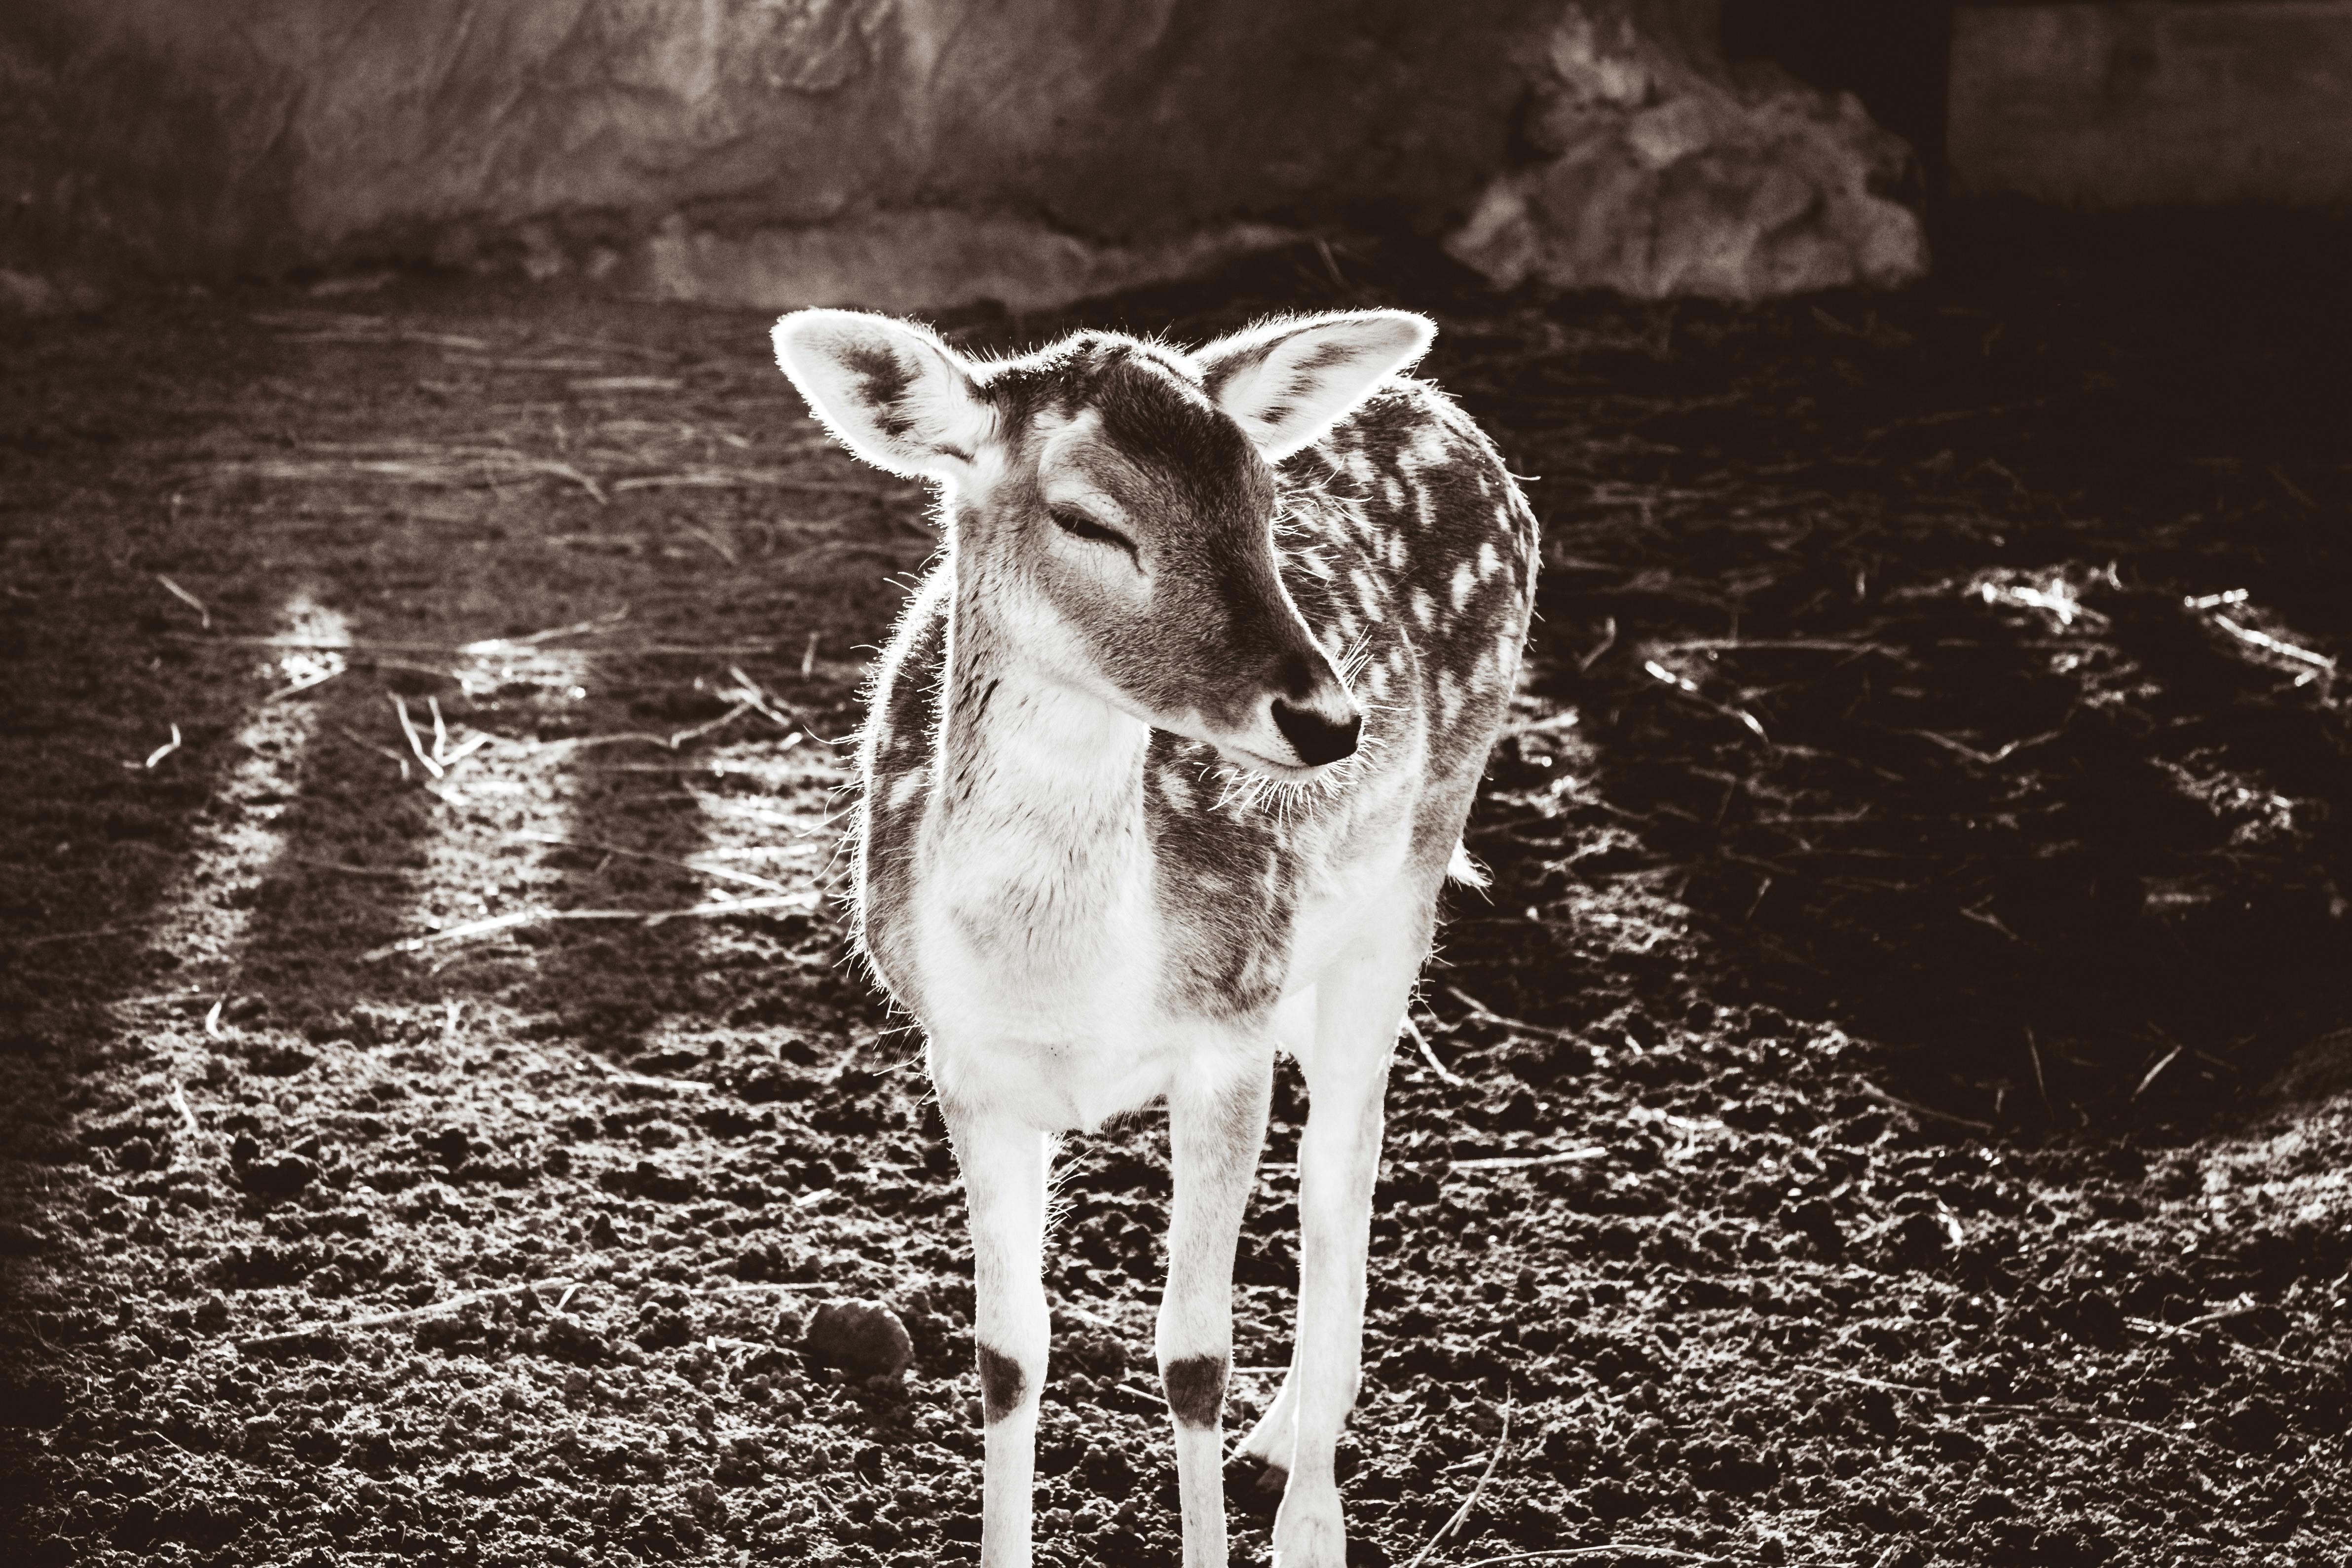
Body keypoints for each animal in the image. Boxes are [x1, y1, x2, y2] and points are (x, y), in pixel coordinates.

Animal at [771, 303, 1538, 1568]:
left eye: (1264, 504)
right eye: (1088, 517)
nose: (1327, 719)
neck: (1061, 979)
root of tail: (1441, 408)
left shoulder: (1226, 1028)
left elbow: (1192, 1359)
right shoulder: (963, 1059)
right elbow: (1005, 1353)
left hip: (1411, 871)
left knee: (1341, 1163)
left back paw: (1308, 1506)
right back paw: (1281, 1442)